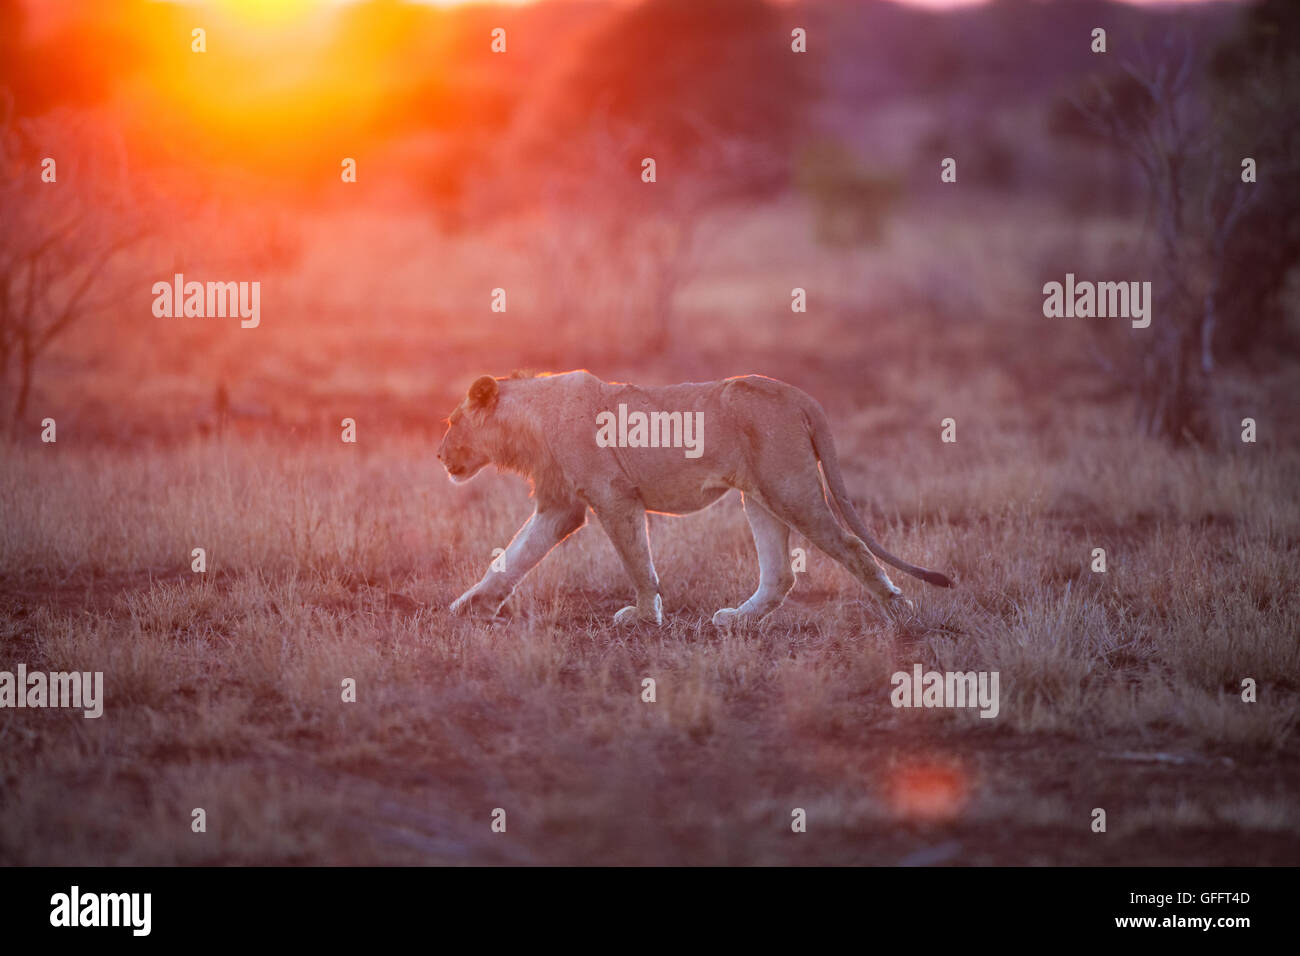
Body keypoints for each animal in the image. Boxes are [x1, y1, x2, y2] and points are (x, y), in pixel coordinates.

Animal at [437, 370, 953, 626]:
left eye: (451, 422)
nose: (439, 454)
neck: (531, 423)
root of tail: (798, 395)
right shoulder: (560, 506)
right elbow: (513, 556)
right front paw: (472, 606)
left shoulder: (613, 496)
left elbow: (637, 563)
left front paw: (645, 616)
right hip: (760, 497)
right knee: (781, 573)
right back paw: (738, 619)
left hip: (791, 491)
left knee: (854, 546)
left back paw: (899, 610)